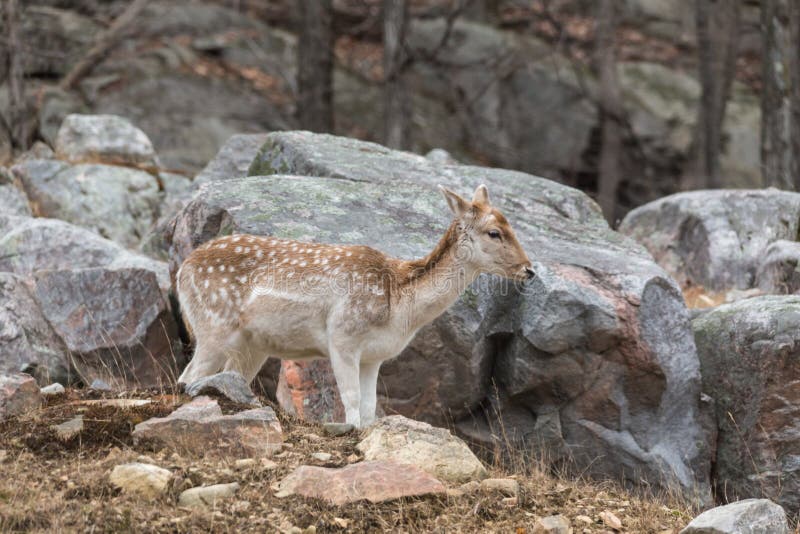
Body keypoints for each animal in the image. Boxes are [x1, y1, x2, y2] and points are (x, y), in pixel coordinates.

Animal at [176, 184, 533, 428]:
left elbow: (369, 406)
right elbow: (350, 402)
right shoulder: (342, 337)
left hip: (252, 346)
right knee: (187, 376)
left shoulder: (374, 357)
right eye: (494, 232)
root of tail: (182, 270)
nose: (529, 269)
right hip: (213, 324)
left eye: (512, 226)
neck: (398, 306)